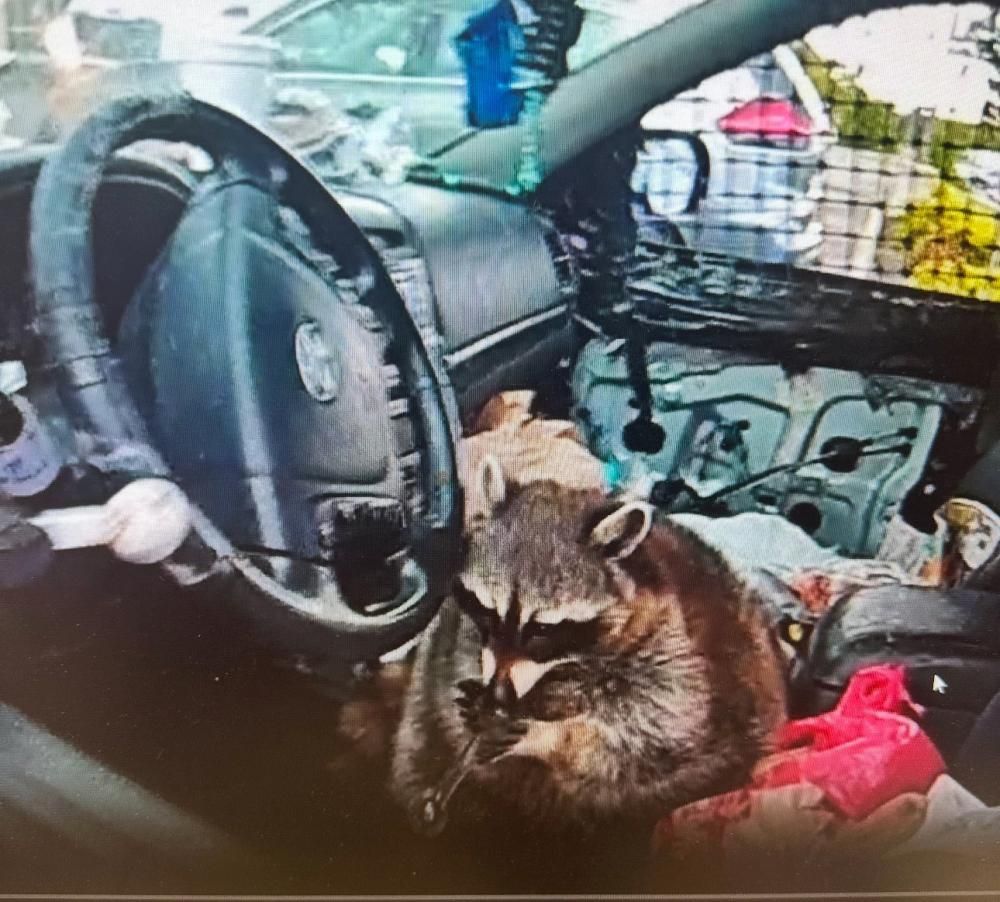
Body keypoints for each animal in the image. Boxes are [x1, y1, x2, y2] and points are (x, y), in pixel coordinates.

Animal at [389, 458, 788, 836]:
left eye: (542, 628)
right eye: (488, 610)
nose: (499, 696)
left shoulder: (675, 652)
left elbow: (649, 736)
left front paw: (547, 732)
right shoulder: (460, 633)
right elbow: (455, 668)